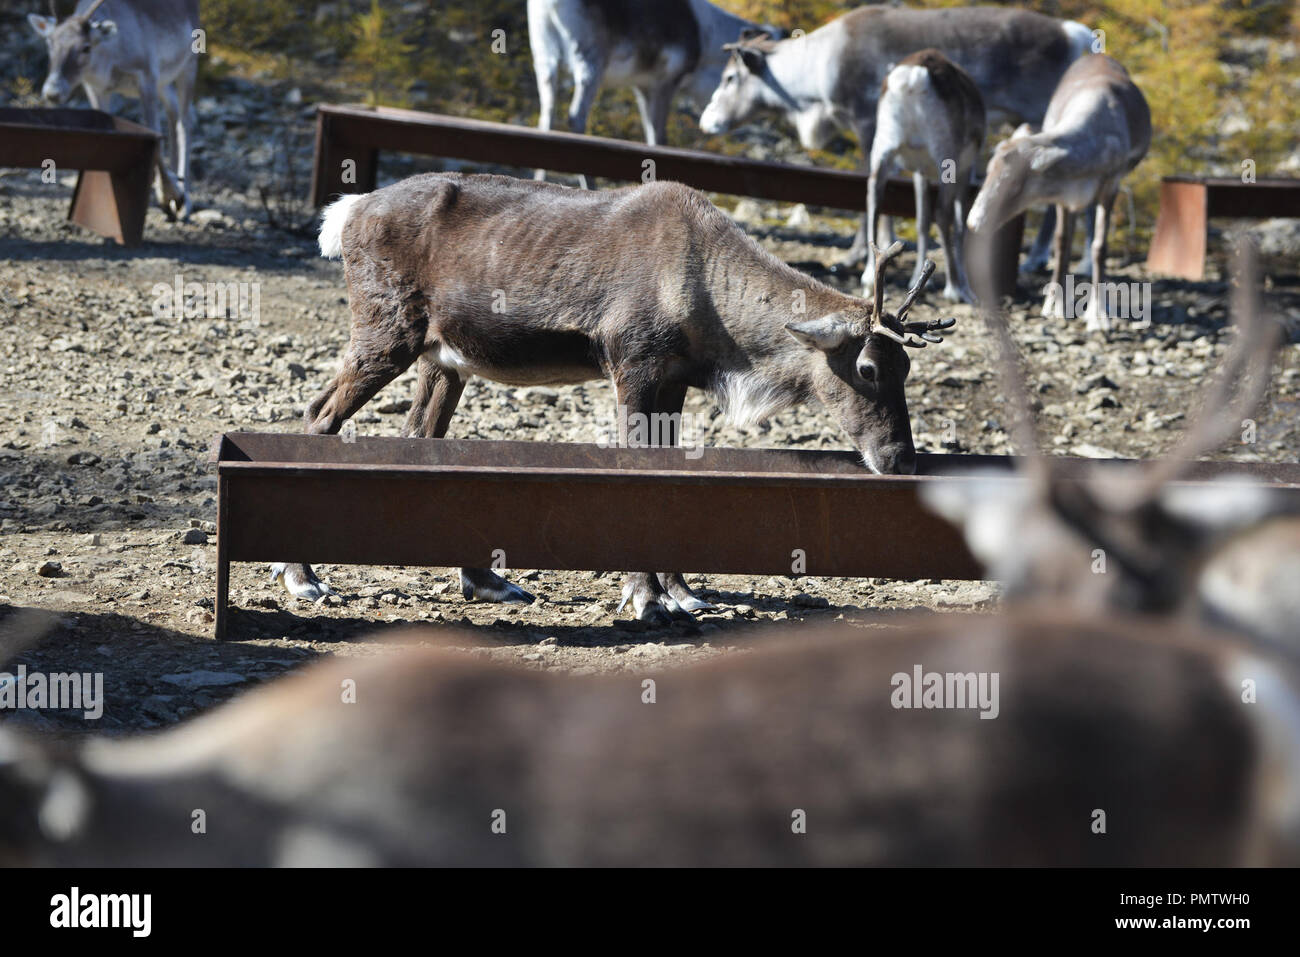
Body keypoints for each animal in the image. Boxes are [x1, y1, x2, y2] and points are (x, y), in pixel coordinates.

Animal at [27, 0, 199, 220]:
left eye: (85, 47)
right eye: (50, 43)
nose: (52, 92)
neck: (109, 56)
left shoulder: (147, 77)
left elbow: (155, 133)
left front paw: (173, 196)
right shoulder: (95, 88)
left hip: (188, 65)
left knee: (185, 120)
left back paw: (185, 200)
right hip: (165, 82)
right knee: (174, 112)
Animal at [271, 172, 954, 623]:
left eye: (907, 366)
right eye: (867, 367)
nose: (901, 460)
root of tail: (347, 213)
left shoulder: (673, 382)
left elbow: (670, 476)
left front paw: (682, 591)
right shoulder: (634, 366)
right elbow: (637, 472)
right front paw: (645, 596)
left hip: (444, 358)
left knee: (420, 439)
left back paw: (485, 580)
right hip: (386, 333)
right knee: (318, 416)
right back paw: (304, 579)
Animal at [697, 5, 1093, 272]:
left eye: (730, 78)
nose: (706, 121)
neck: (818, 73)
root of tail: (1081, 36)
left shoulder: (866, 122)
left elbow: (870, 191)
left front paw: (861, 253)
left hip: (1047, 118)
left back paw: (1042, 258)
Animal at [862, 50, 985, 305]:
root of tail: (913, 78)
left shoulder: (920, 173)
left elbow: (921, 221)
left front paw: (916, 280)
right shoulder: (964, 172)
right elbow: (959, 226)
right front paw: (967, 291)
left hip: (882, 151)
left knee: (873, 198)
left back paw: (868, 279)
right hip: (945, 159)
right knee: (943, 214)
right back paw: (954, 289)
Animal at [965, 54, 1151, 329]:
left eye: (1015, 185)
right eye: (988, 171)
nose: (974, 221)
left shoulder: (1110, 185)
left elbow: (1100, 246)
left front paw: (1098, 314)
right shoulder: (1065, 195)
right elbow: (1061, 243)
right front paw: (1054, 305)